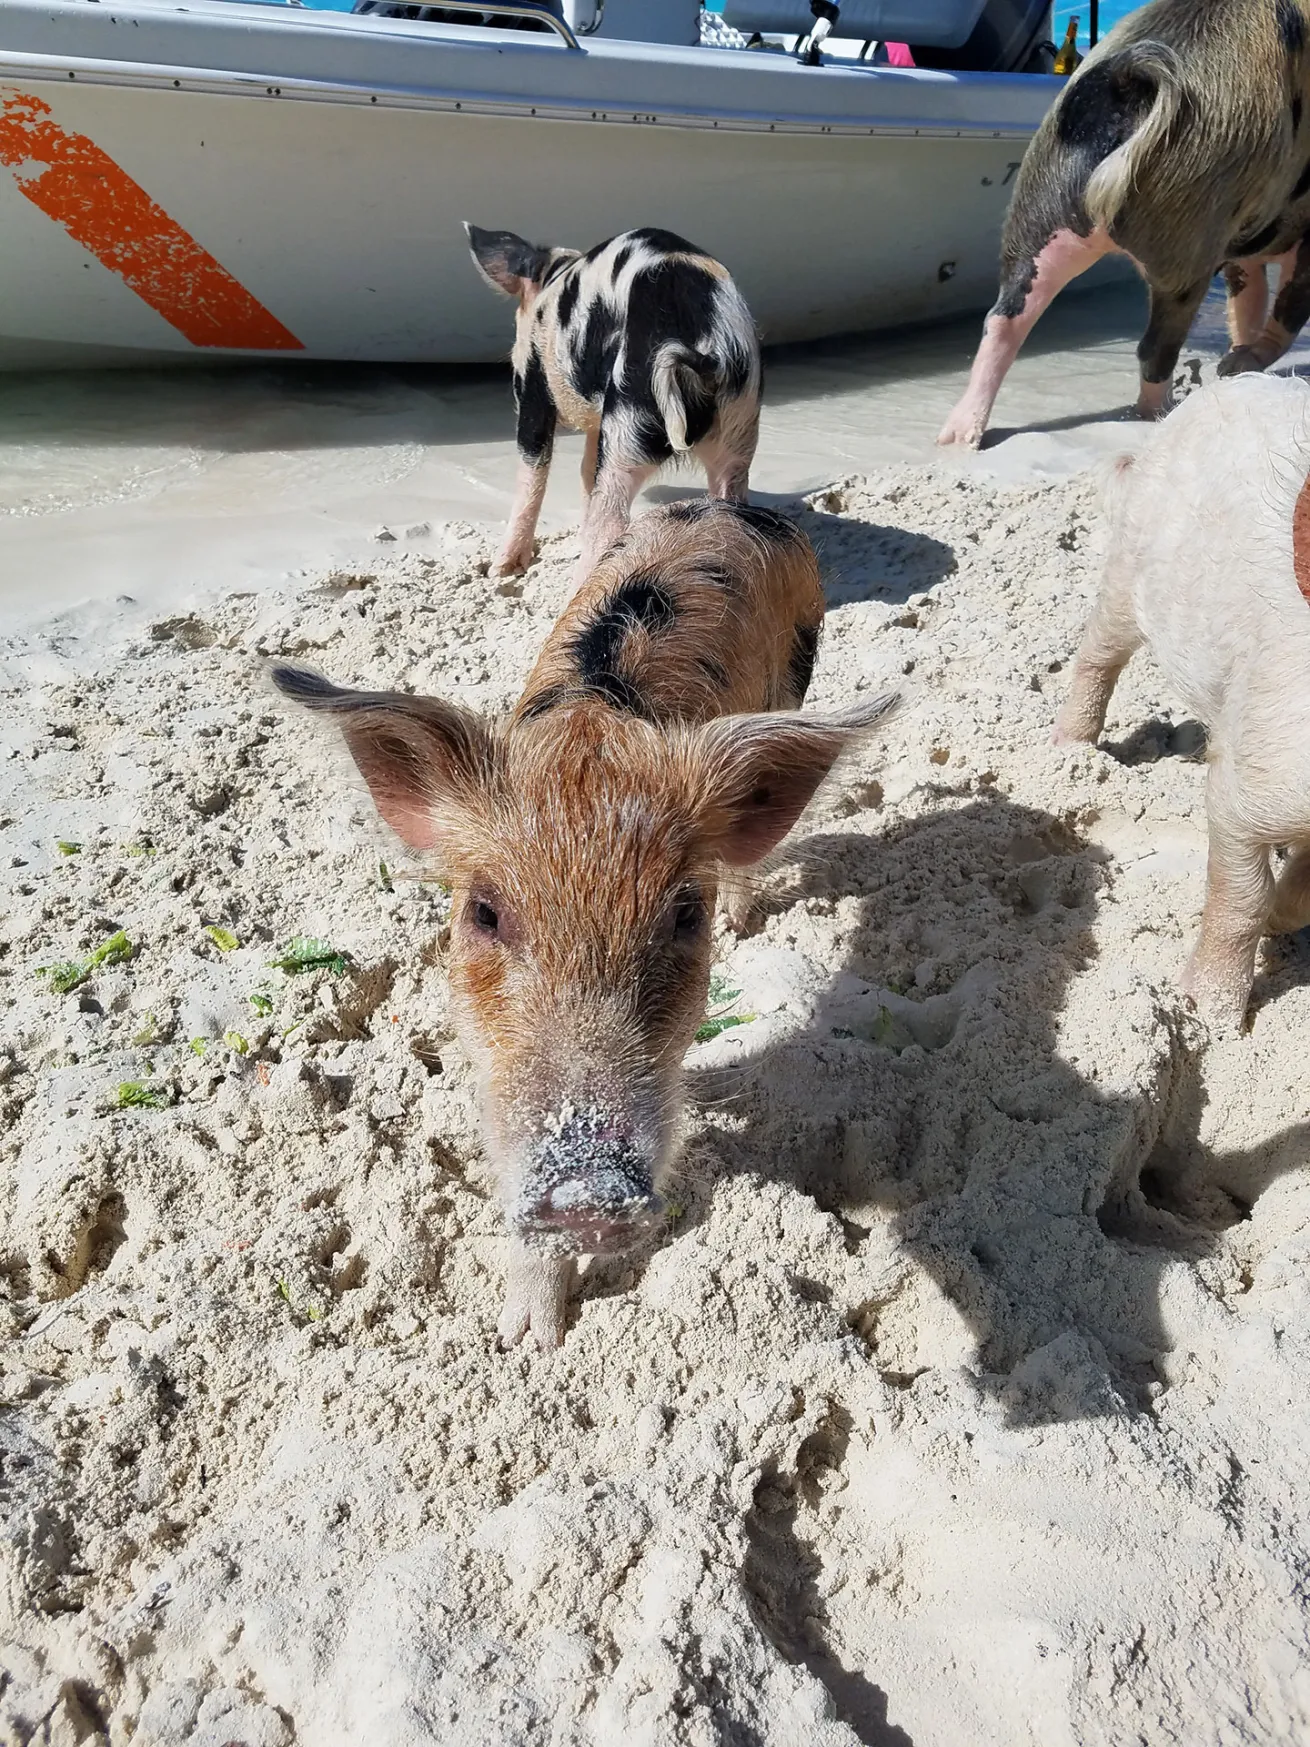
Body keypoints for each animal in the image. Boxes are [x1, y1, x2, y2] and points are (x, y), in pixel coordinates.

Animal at [272, 499, 898, 1347]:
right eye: (484, 910)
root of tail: (739, 506)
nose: (589, 1191)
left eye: (684, 913)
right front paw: (524, 1341)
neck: (592, 730)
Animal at [465, 223, 762, 580]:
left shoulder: (534, 386)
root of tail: (702, 347)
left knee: (610, 522)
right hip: (738, 428)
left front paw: (501, 570)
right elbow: (585, 469)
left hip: (628, 422)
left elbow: (531, 473)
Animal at [938, 0, 1310, 450]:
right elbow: (1286, 305)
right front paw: (1242, 362)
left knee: (1005, 314)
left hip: (1039, 200)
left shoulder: (1245, 242)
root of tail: (1125, 80)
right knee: (1155, 345)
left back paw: (957, 437)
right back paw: (1161, 411)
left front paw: (1234, 364)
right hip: (1190, 218)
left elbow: (1247, 301)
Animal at [1053, 373, 1310, 1027]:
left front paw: (1284, 920)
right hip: (1129, 568)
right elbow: (1242, 894)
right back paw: (1070, 751)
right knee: (1098, 653)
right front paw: (1208, 1014)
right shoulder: (1256, 772)